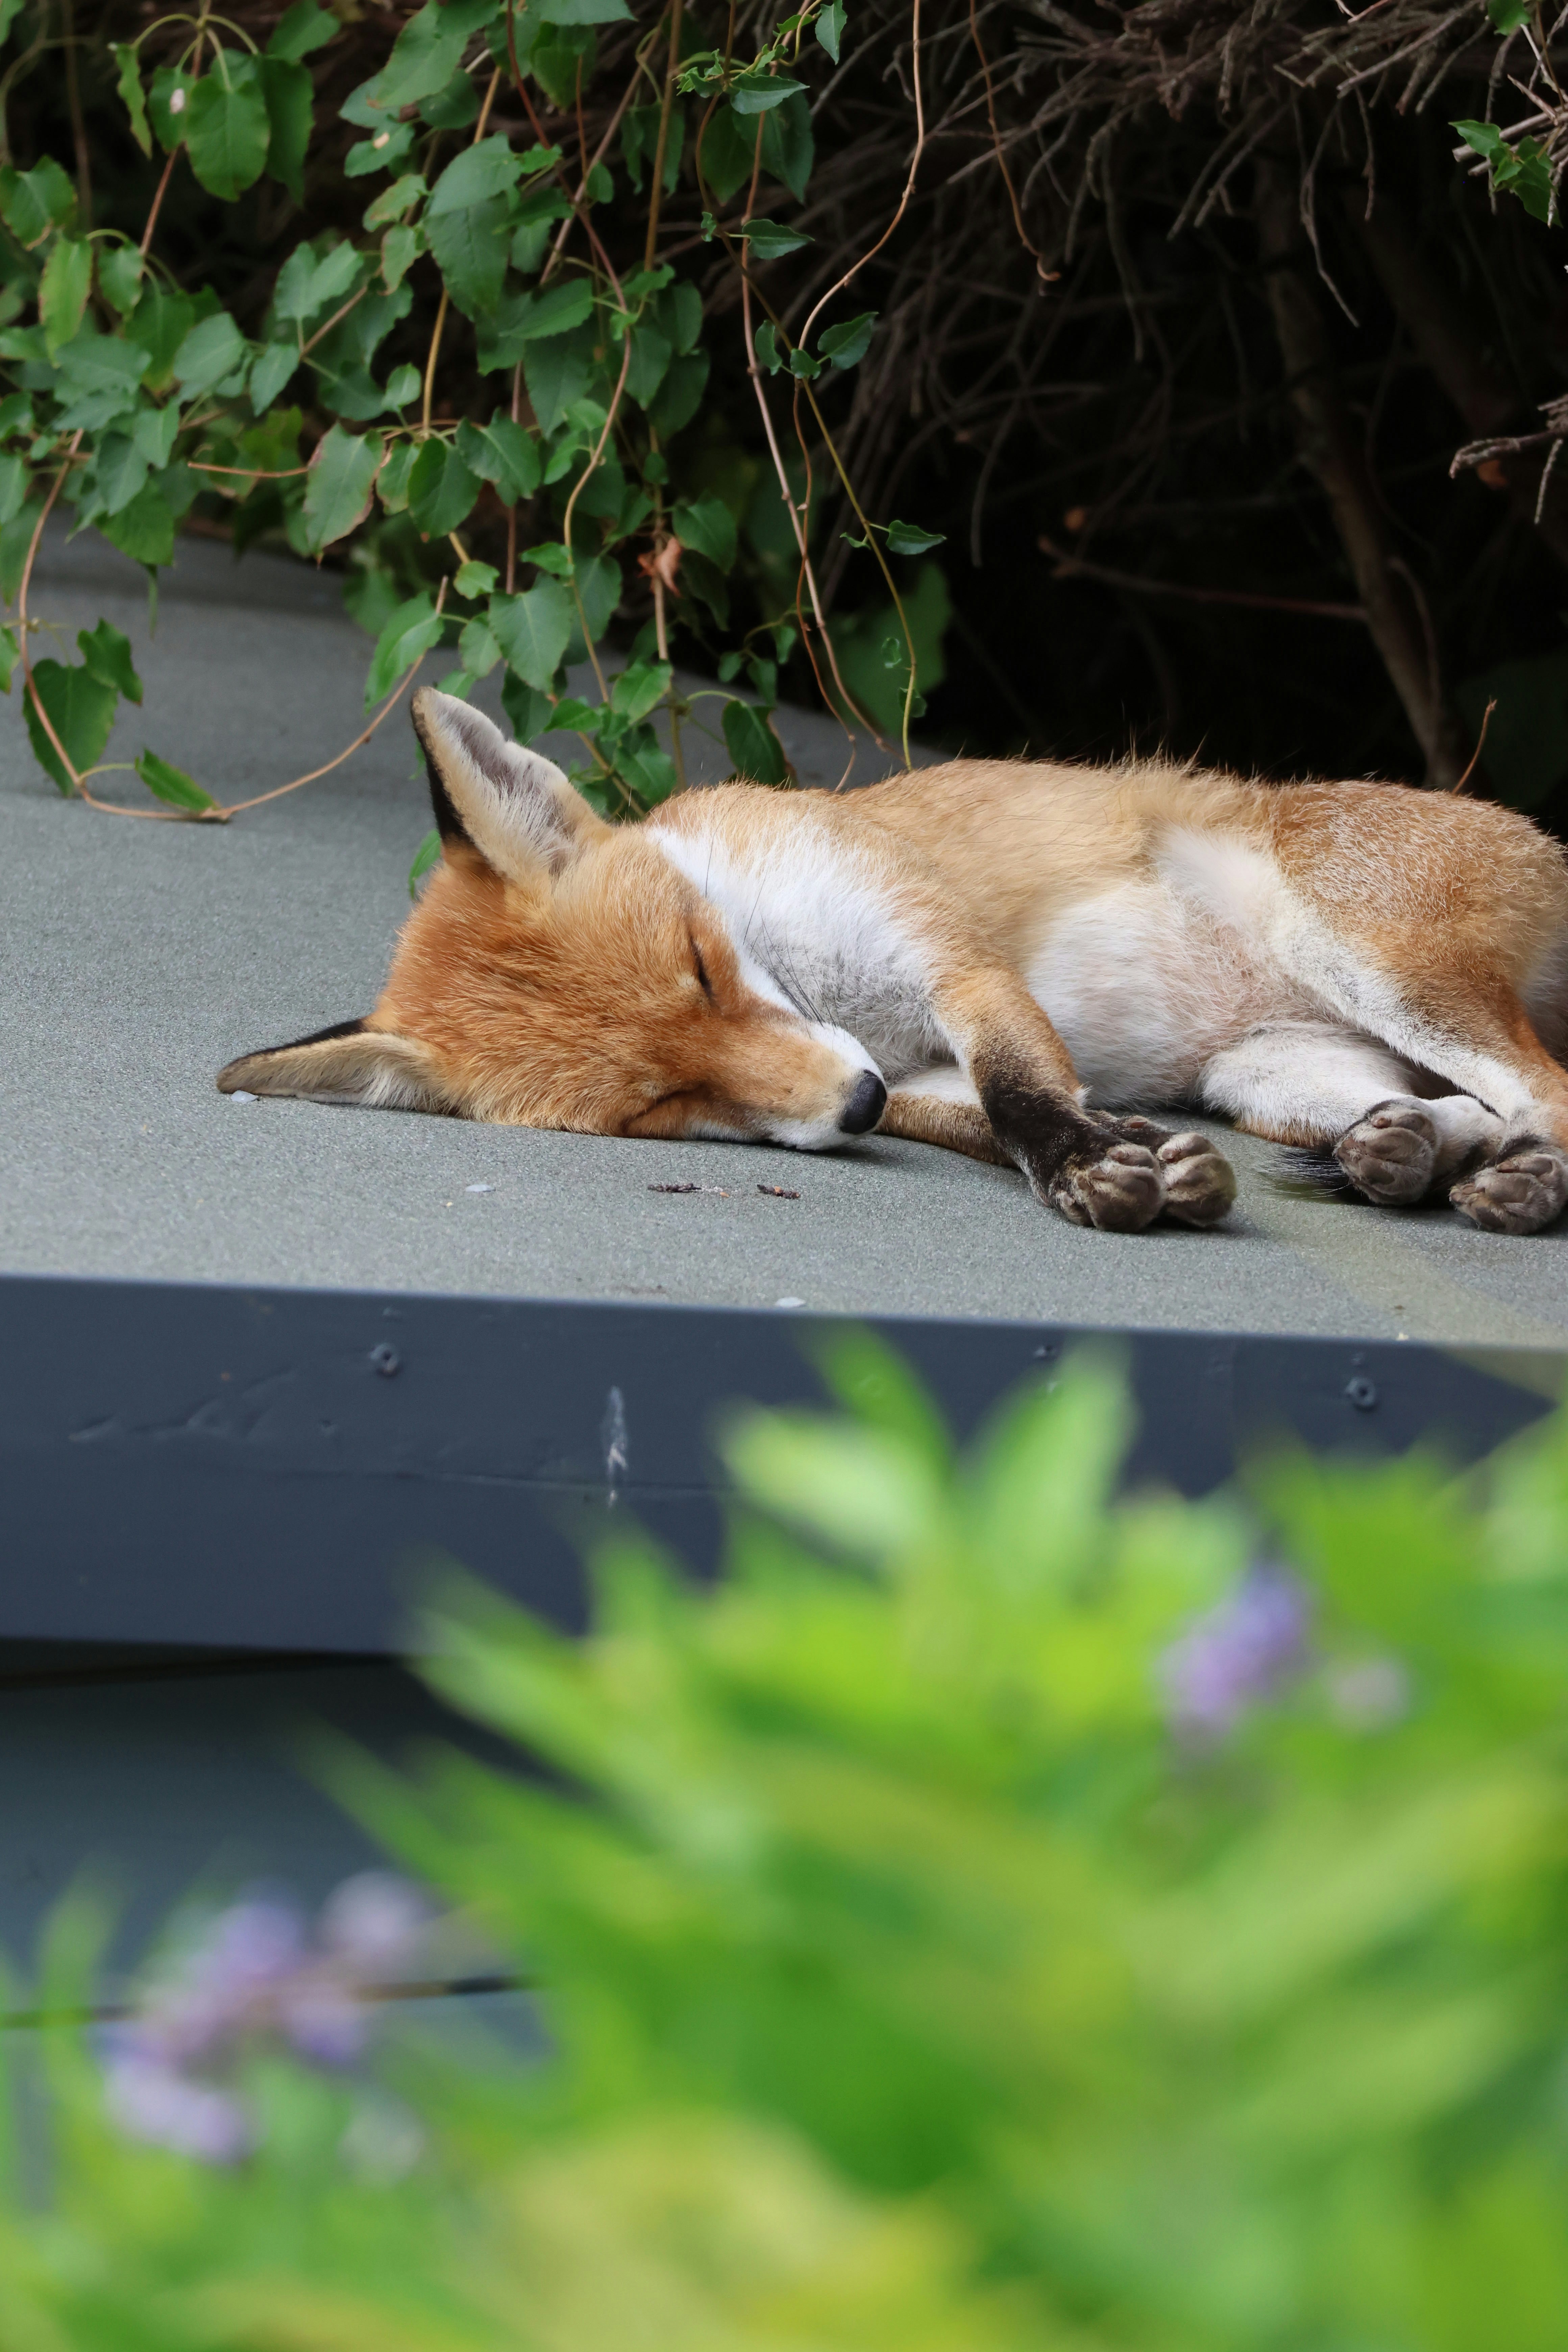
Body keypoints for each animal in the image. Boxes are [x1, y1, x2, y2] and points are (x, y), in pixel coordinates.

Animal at [217, 685, 1568, 1238]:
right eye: (661, 1105)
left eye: (703, 967)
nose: (852, 1103)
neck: (824, 987)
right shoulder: (913, 1070)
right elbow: (994, 1119)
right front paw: (1137, 1162)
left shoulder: (950, 960)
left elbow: (1024, 1092)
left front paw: (1087, 1167)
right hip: (1273, 1074)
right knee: (1464, 1114)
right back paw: (1420, 1164)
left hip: (1373, 971)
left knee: (1546, 1097)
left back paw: (1506, 1186)